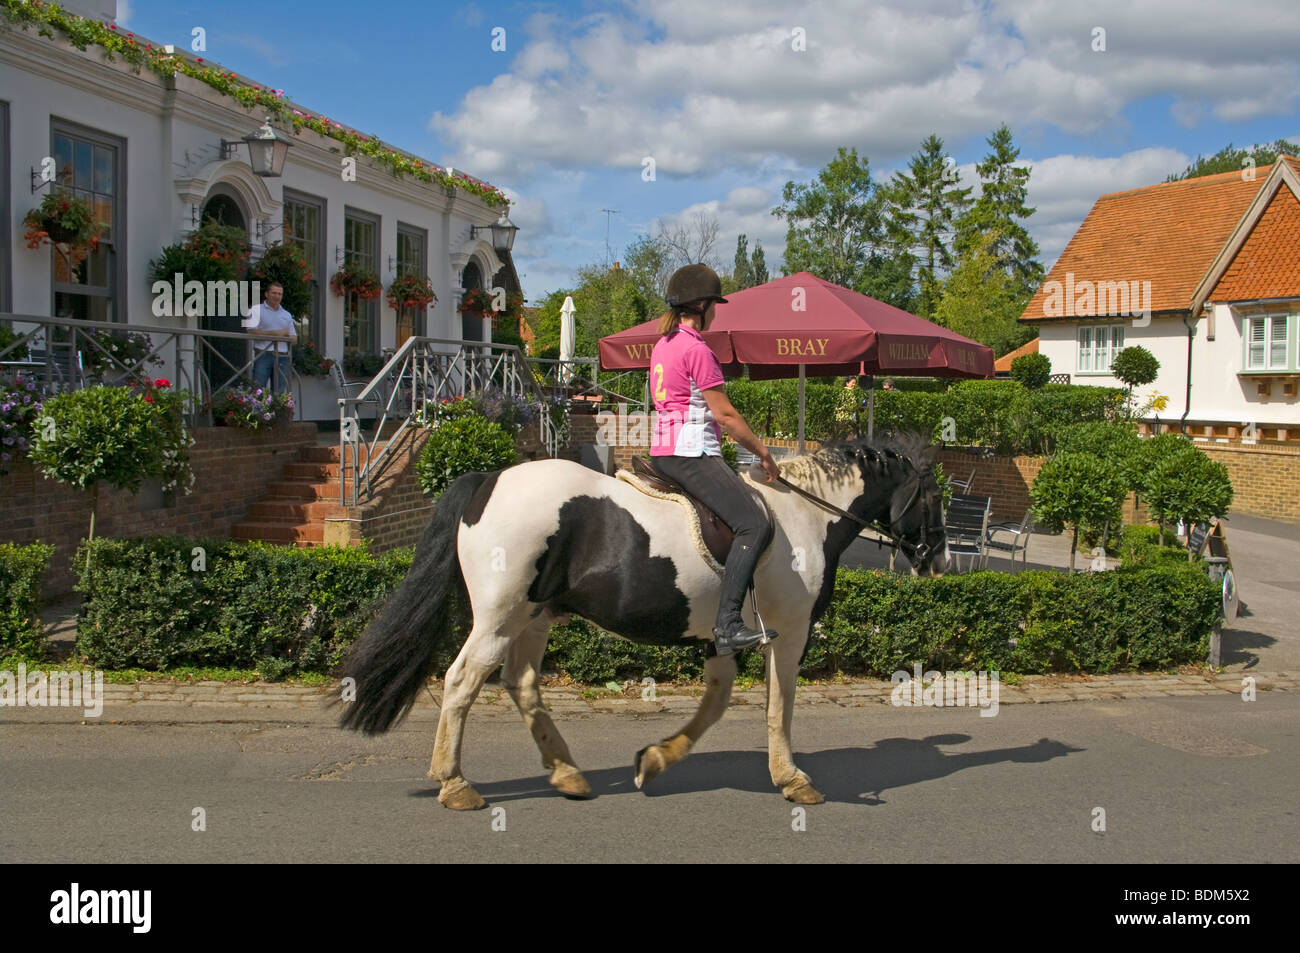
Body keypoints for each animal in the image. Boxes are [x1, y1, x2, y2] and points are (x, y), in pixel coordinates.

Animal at [338, 434, 948, 809]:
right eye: (934, 497)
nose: (937, 558)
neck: (804, 515)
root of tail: (490, 480)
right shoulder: (789, 632)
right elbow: (780, 706)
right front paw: (792, 779)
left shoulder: (722, 637)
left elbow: (716, 703)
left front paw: (654, 760)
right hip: (499, 617)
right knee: (462, 681)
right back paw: (454, 783)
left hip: (533, 616)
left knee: (521, 683)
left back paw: (566, 773)